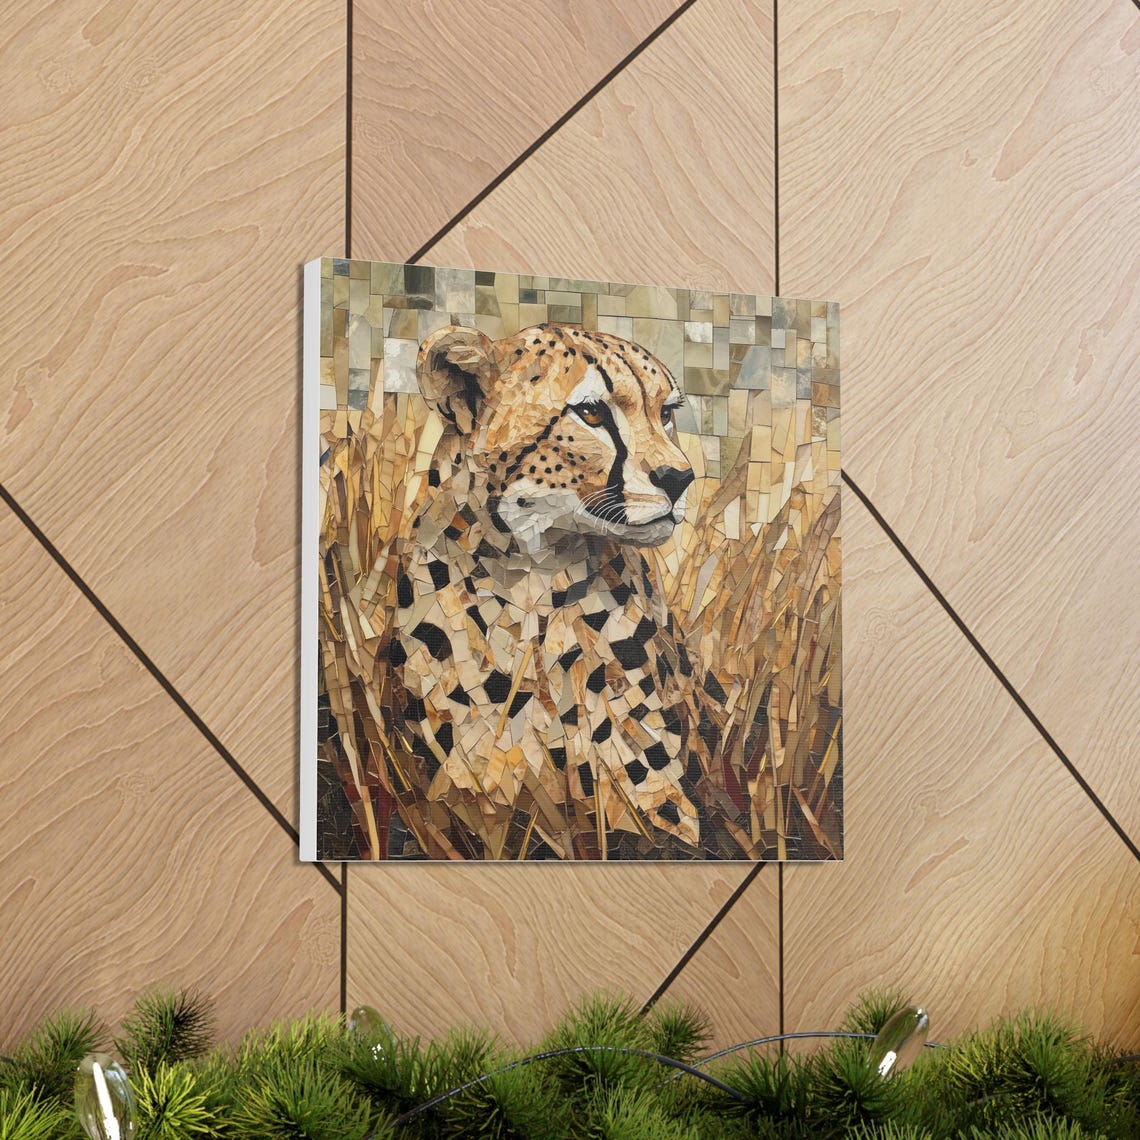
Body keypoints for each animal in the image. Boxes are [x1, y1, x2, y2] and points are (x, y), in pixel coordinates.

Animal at [379, 322, 721, 860]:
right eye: (592, 412)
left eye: (664, 413)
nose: (680, 478)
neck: (533, 579)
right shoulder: (463, 801)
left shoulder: (653, 806)